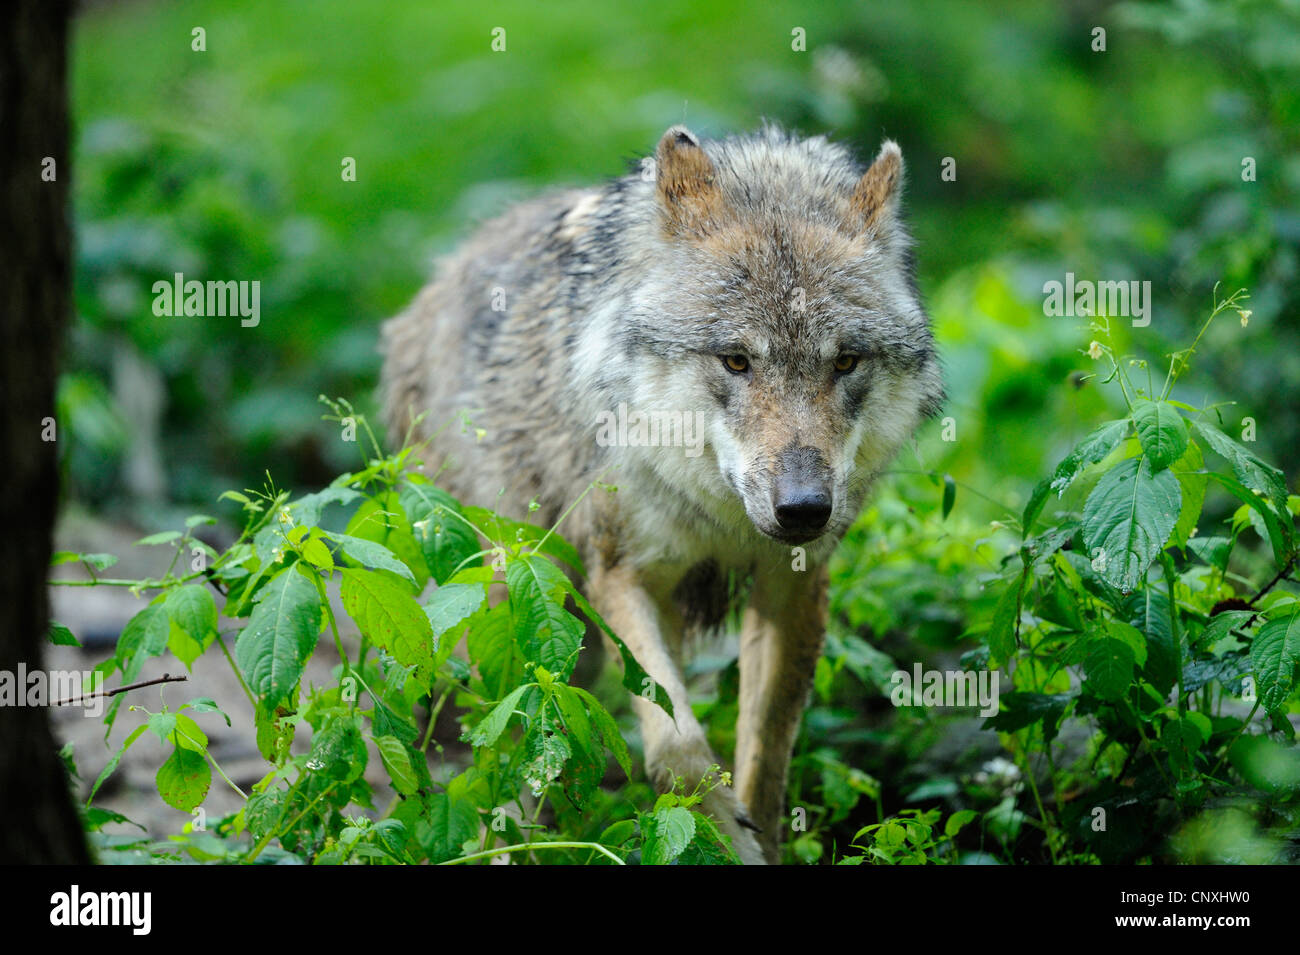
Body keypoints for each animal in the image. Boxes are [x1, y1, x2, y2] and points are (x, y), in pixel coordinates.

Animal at [381, 124, 943, 864]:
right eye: (736, 360)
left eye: (845, 362)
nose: (803, 508)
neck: (722, 519)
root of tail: (425, 294)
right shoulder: (621, 573)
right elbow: (677, 746)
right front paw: (723, 834)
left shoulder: (793, 586)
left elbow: (766, 753)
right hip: (521, 600)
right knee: (497, 752)